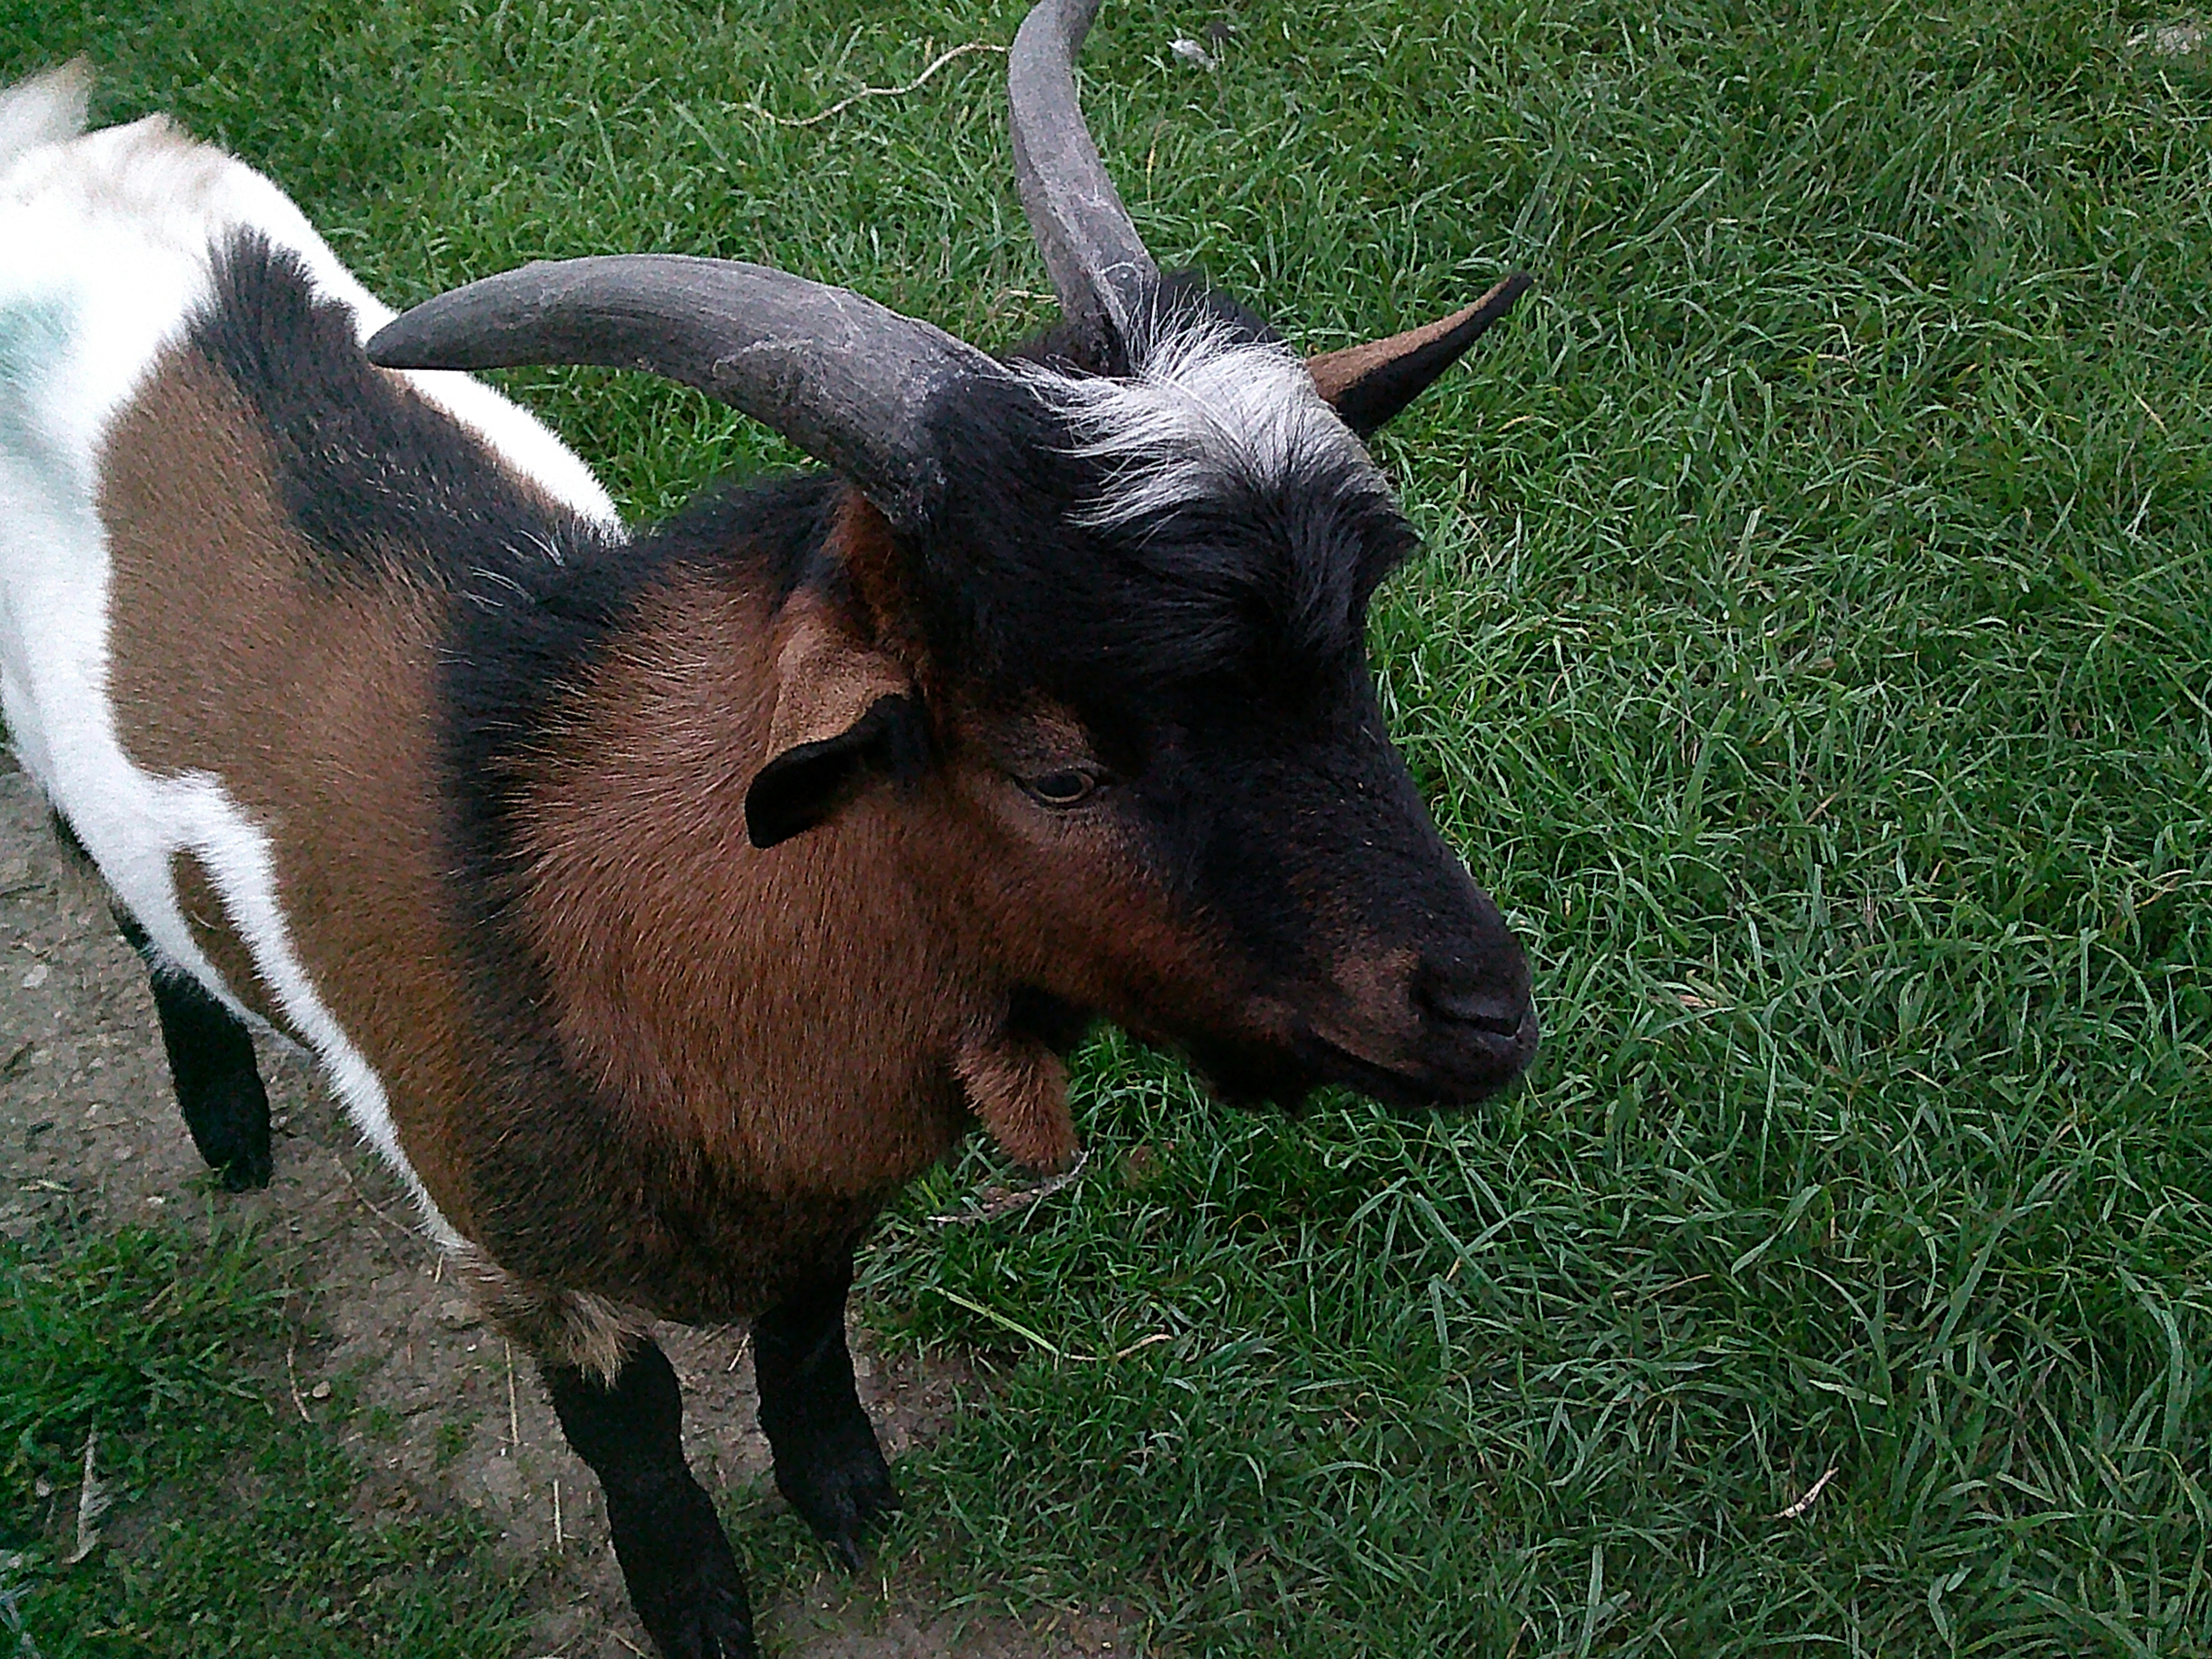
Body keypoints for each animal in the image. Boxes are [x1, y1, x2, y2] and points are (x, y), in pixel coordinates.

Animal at [0, 4, 1536, 1654]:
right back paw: (225, 1124)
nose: (1485, 1009)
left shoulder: (821, 1175)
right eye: (1058, 772)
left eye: (1353, 664)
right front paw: (698, 1600)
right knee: (127, 907)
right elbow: (636, 1429)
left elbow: (806, 1328)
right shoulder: (515, 1251)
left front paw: (843, 1487)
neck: (569, 900)